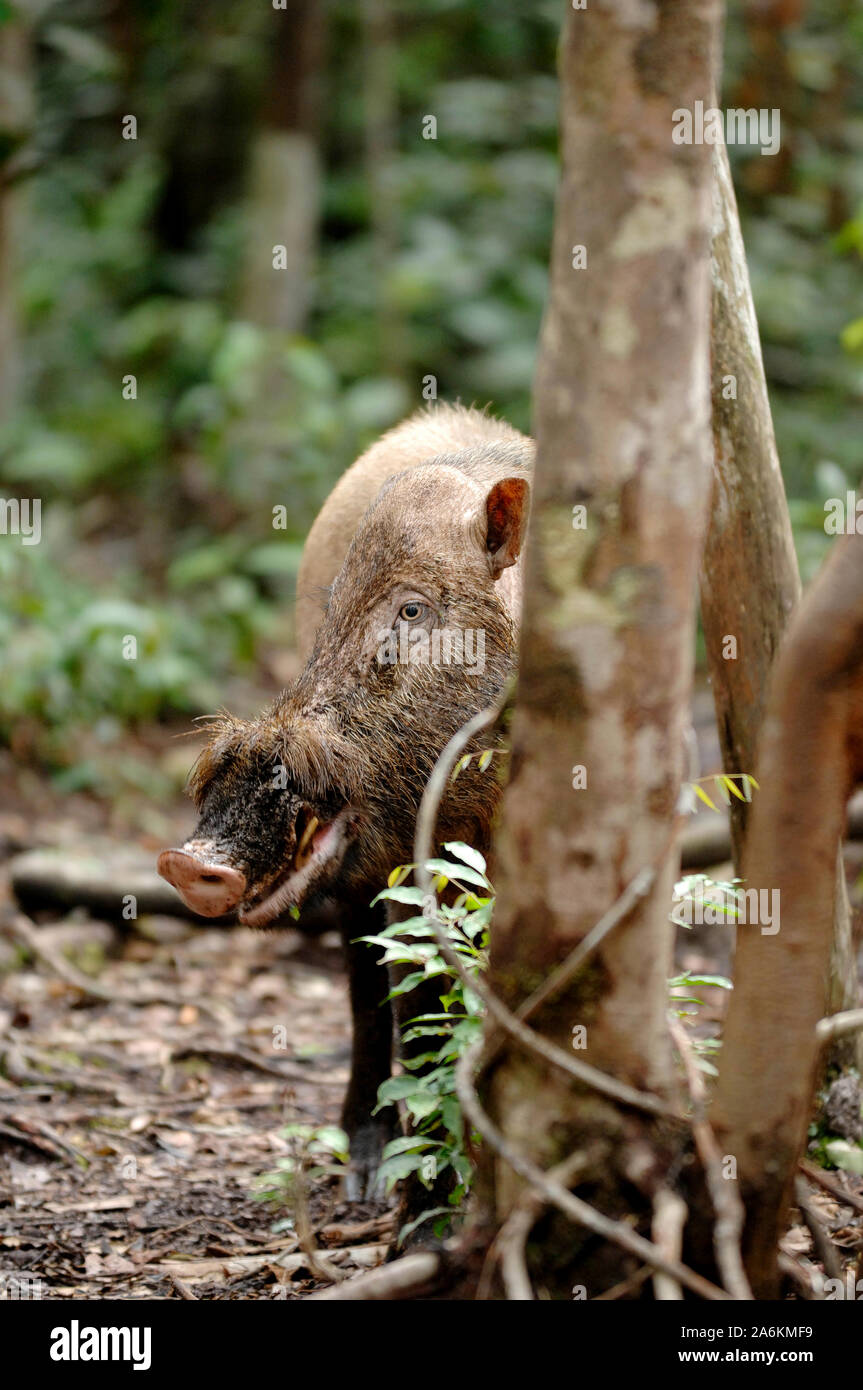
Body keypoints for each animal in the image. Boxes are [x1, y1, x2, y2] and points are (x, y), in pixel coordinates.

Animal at [158, 404, 533, 1198]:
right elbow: (417, 998)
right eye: (334, 613)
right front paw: (418, 1203)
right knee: (366, 983)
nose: (187, 861)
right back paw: (364, 1170)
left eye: (412, 610)